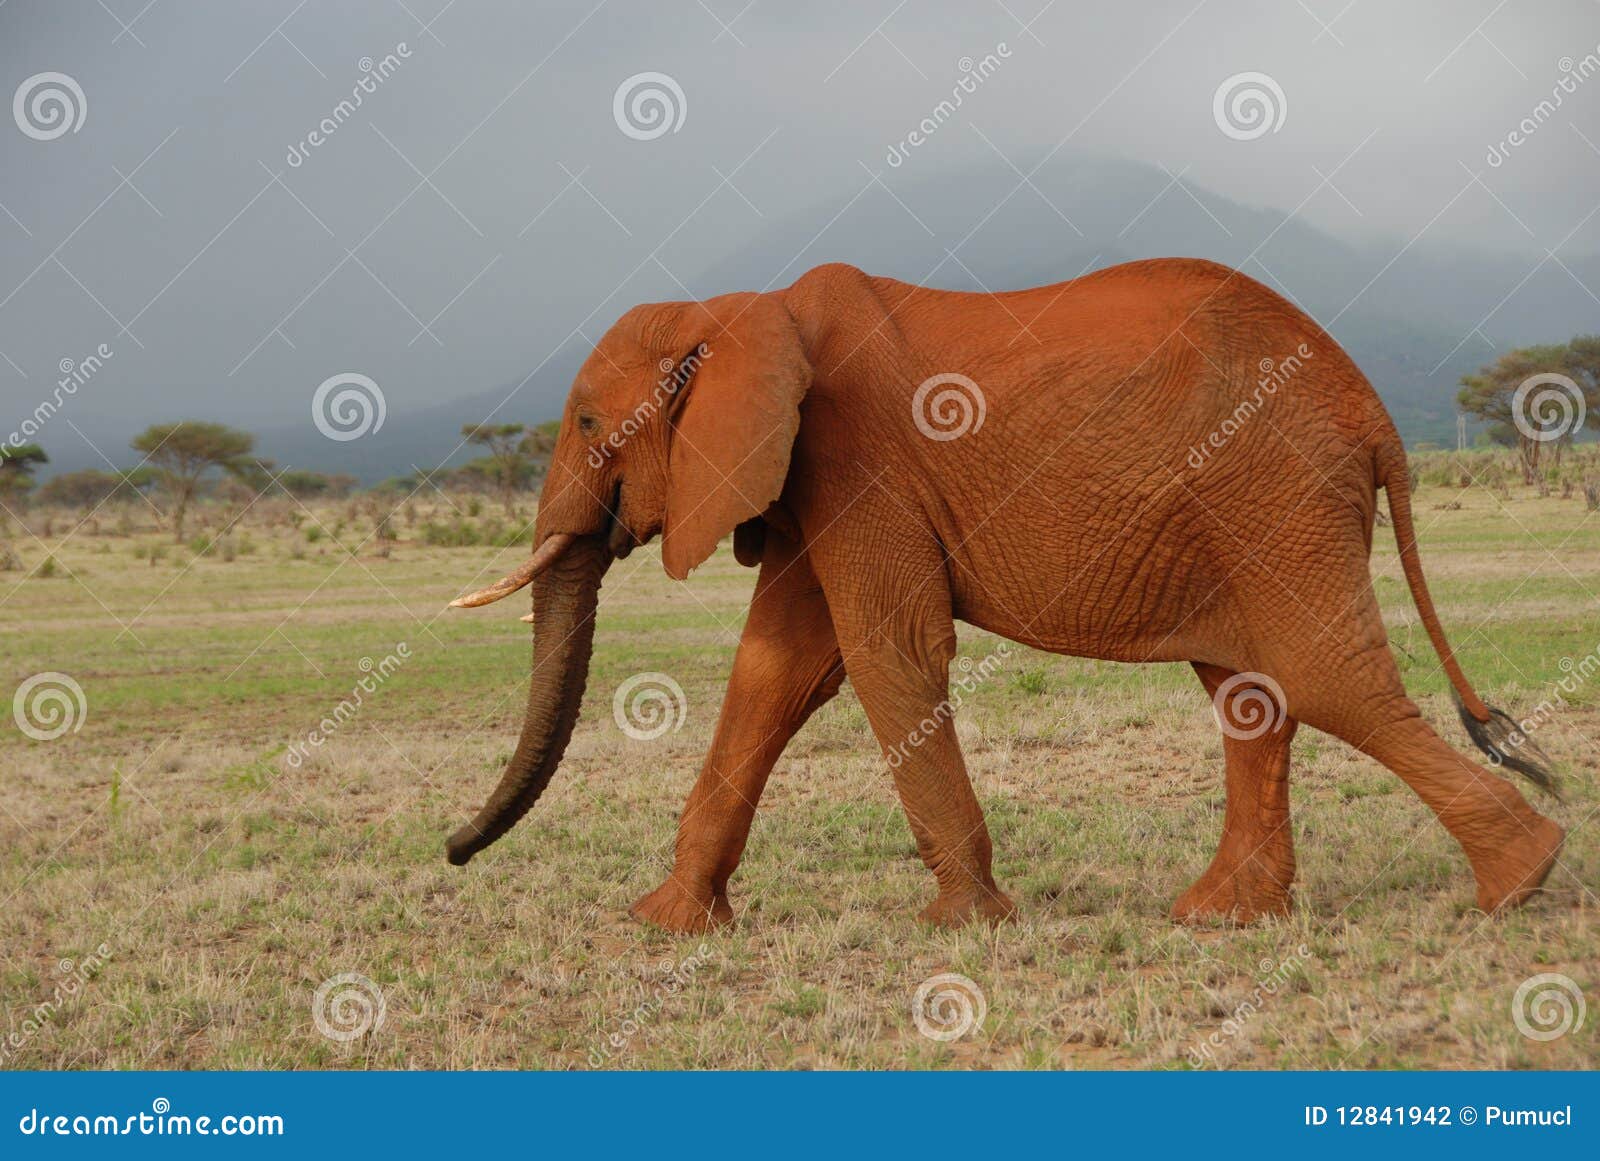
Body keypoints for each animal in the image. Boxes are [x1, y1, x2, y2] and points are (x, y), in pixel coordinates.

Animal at [443, 258, 1562, 933]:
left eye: (591, 425)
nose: (451, 852)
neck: (743, 310)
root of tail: (1373, 411)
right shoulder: (811, 479)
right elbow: (775, 669)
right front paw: (666, 923)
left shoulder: (858, 462)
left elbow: (886, 653)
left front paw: (966, 925)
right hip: (1243, 509)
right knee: (1252, 693)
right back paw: (1217, 915)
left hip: (1276, 488)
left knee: (1321, 677)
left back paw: (1523, 881)